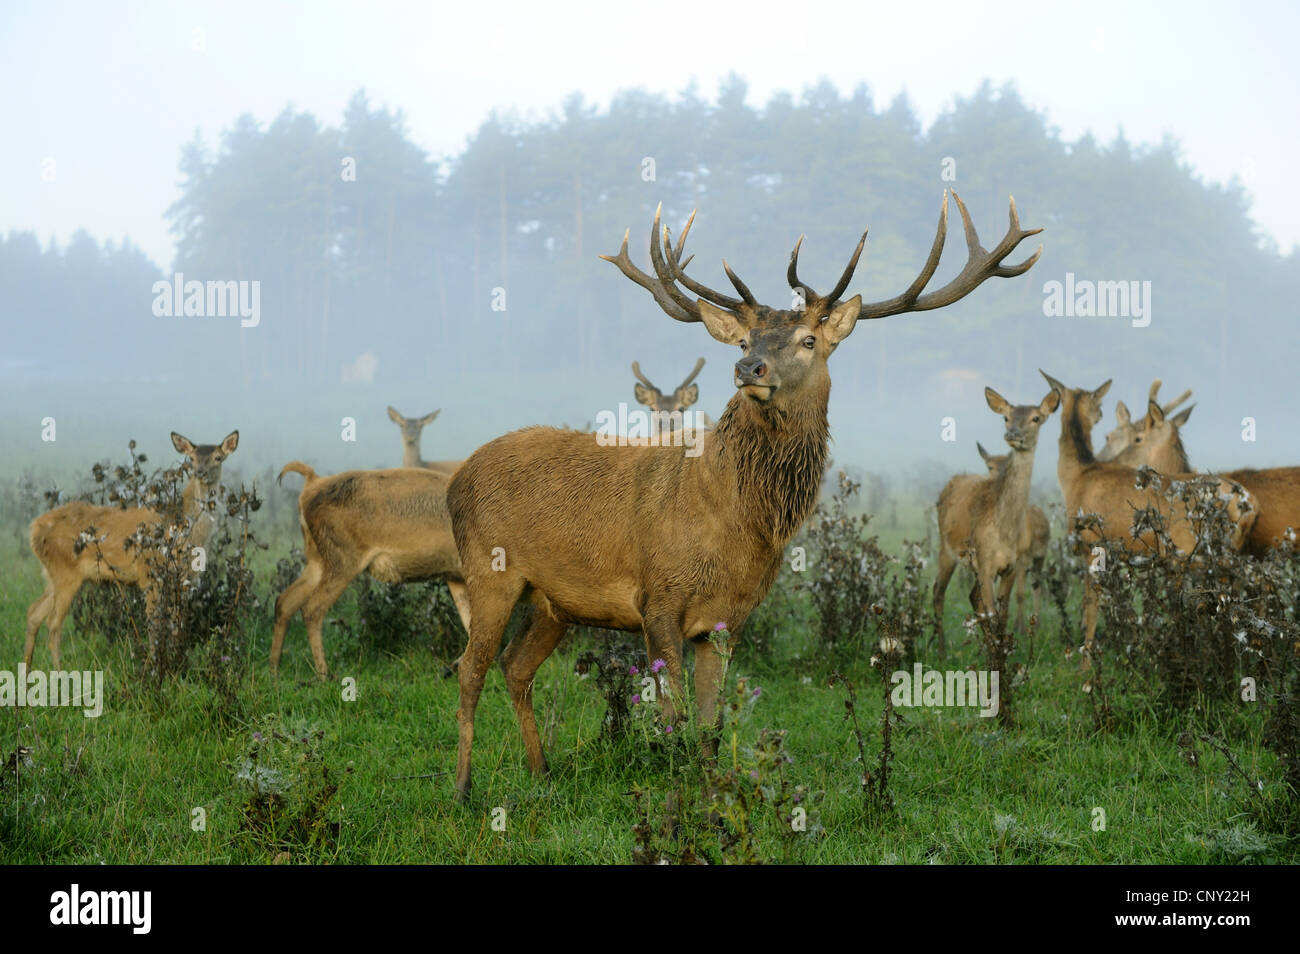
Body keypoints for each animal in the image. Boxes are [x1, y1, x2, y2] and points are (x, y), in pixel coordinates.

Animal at [24, 431, 239, 668]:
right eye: (191, 458)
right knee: (53, 624)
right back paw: (59, 672)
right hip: (65, 573)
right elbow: (155, 626)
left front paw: (177, 662)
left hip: (53, 574)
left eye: (218, 457)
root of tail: (34, 529)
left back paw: (26, 673)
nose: (201, 472)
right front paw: (154, 668)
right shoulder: (149, 574)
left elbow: (177, 624)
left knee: (34, 613)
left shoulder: (183, 579)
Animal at [271, 462, 472, 680]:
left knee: (285, 601)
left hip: (318, 559)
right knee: (312, 608)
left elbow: (469, 622)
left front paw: (454, 666)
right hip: (342, 559)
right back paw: (324, 673)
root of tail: (311, 484)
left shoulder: (455, 576)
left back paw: (274, 669)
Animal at [444, 191, 1044, 801]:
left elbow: (711, 728)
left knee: (516, 665)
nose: (747, 366)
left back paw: (541, 770)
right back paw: (464, 787)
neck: (737, 523)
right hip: (488, 568)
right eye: (743, 338)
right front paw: (677, 797)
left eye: (808, 339)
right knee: (469, 668)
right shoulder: (657, 600)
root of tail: (456, 478)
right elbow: (673, 721)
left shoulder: (726, 620)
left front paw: (712, 797)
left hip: (552, 601)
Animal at [932, 388, 1059, 653]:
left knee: (971, 595)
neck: (1005, 531)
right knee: (938, 590)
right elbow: (991, 614)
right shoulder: (985, 562)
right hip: (946, 548)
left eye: (1036, 418)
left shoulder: (1012, 564)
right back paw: (941, 650)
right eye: (1006, 417)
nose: (1013, 435)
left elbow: (1002, 617)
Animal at [1038, 371, 1258, 665]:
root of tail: (1249, 505)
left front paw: (1086, 664)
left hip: (1194, 553)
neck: (1077, 477)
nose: (1112, 458)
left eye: (1137, 438)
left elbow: (1091, 608)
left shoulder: (1091, 542)